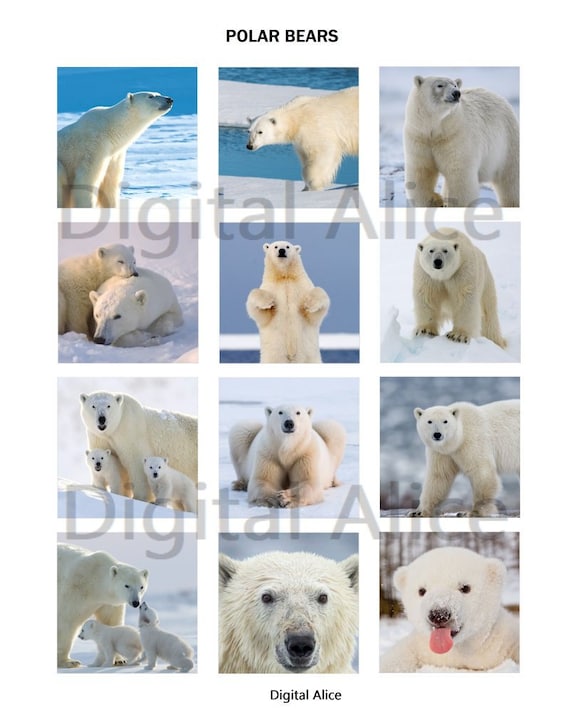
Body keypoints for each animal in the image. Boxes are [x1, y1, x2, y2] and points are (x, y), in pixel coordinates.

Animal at [380, 547, 519, 672]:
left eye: (465, 587)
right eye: (421, 590)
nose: (439, 614)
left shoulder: (503, 641)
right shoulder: (420, 647)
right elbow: (397, 657)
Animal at [404, 76, 519, 207]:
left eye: (455, 85)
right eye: (439, 85)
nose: (456, 93)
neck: (436, 130)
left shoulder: (455, 137)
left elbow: (459, 175)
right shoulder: (419, 137)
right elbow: (421, 172)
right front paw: (436, 201)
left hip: (506, 144)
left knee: (510, 179)